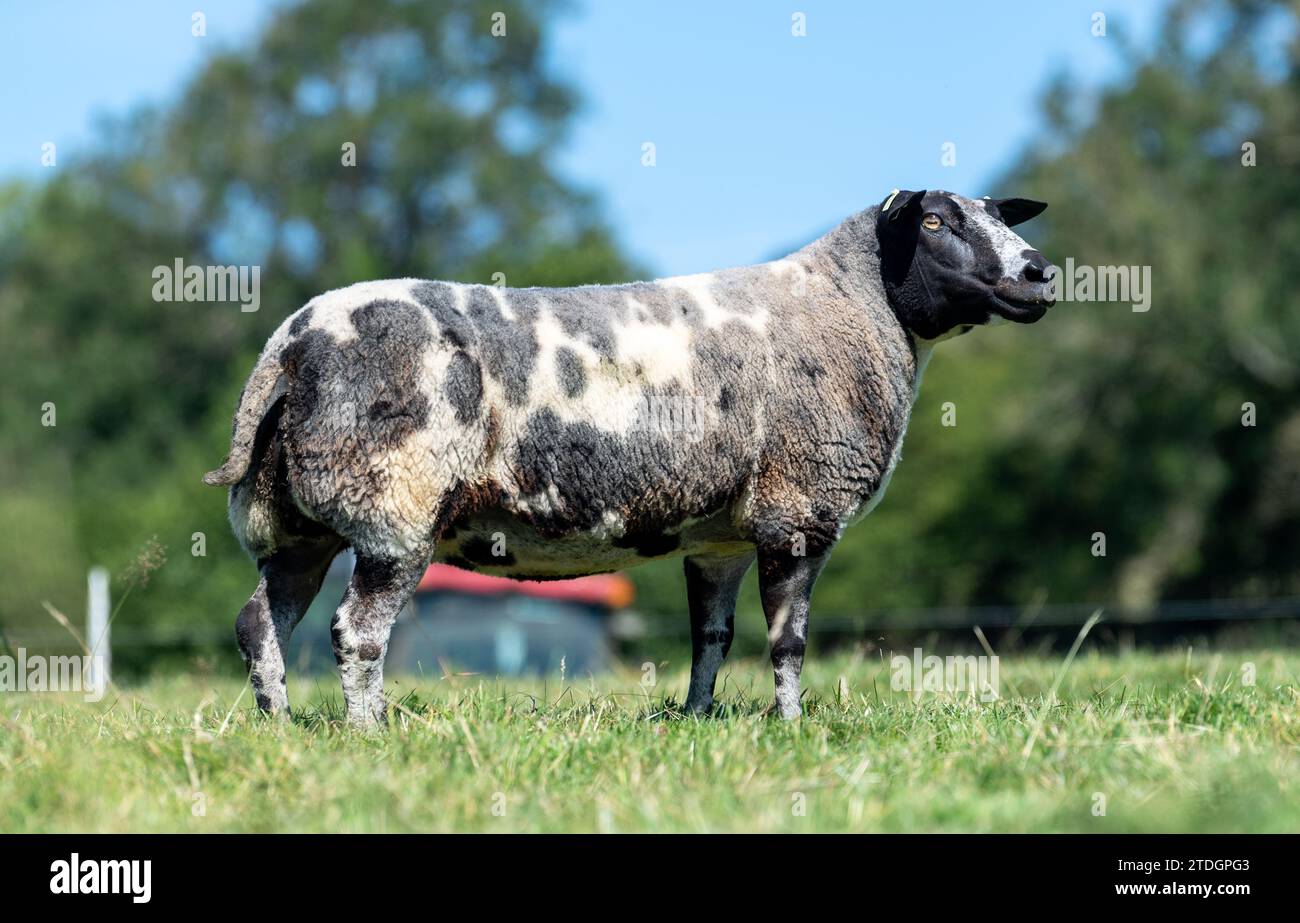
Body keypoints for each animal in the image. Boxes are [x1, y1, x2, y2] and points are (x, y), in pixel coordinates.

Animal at [206, 188, 1052, 726]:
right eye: (935, 220)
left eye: (997, 217)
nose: (1041, 273)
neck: (851, 310)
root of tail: (289, 346)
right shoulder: (796, 509)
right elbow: (788, 638)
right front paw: (790, 724)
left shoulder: (719, 537)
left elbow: (713, 636)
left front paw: (698, 720)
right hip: (393, 501)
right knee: (356, 629)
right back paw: (367, 732)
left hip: (298, 523)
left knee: (260, 624)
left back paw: (279, 727)